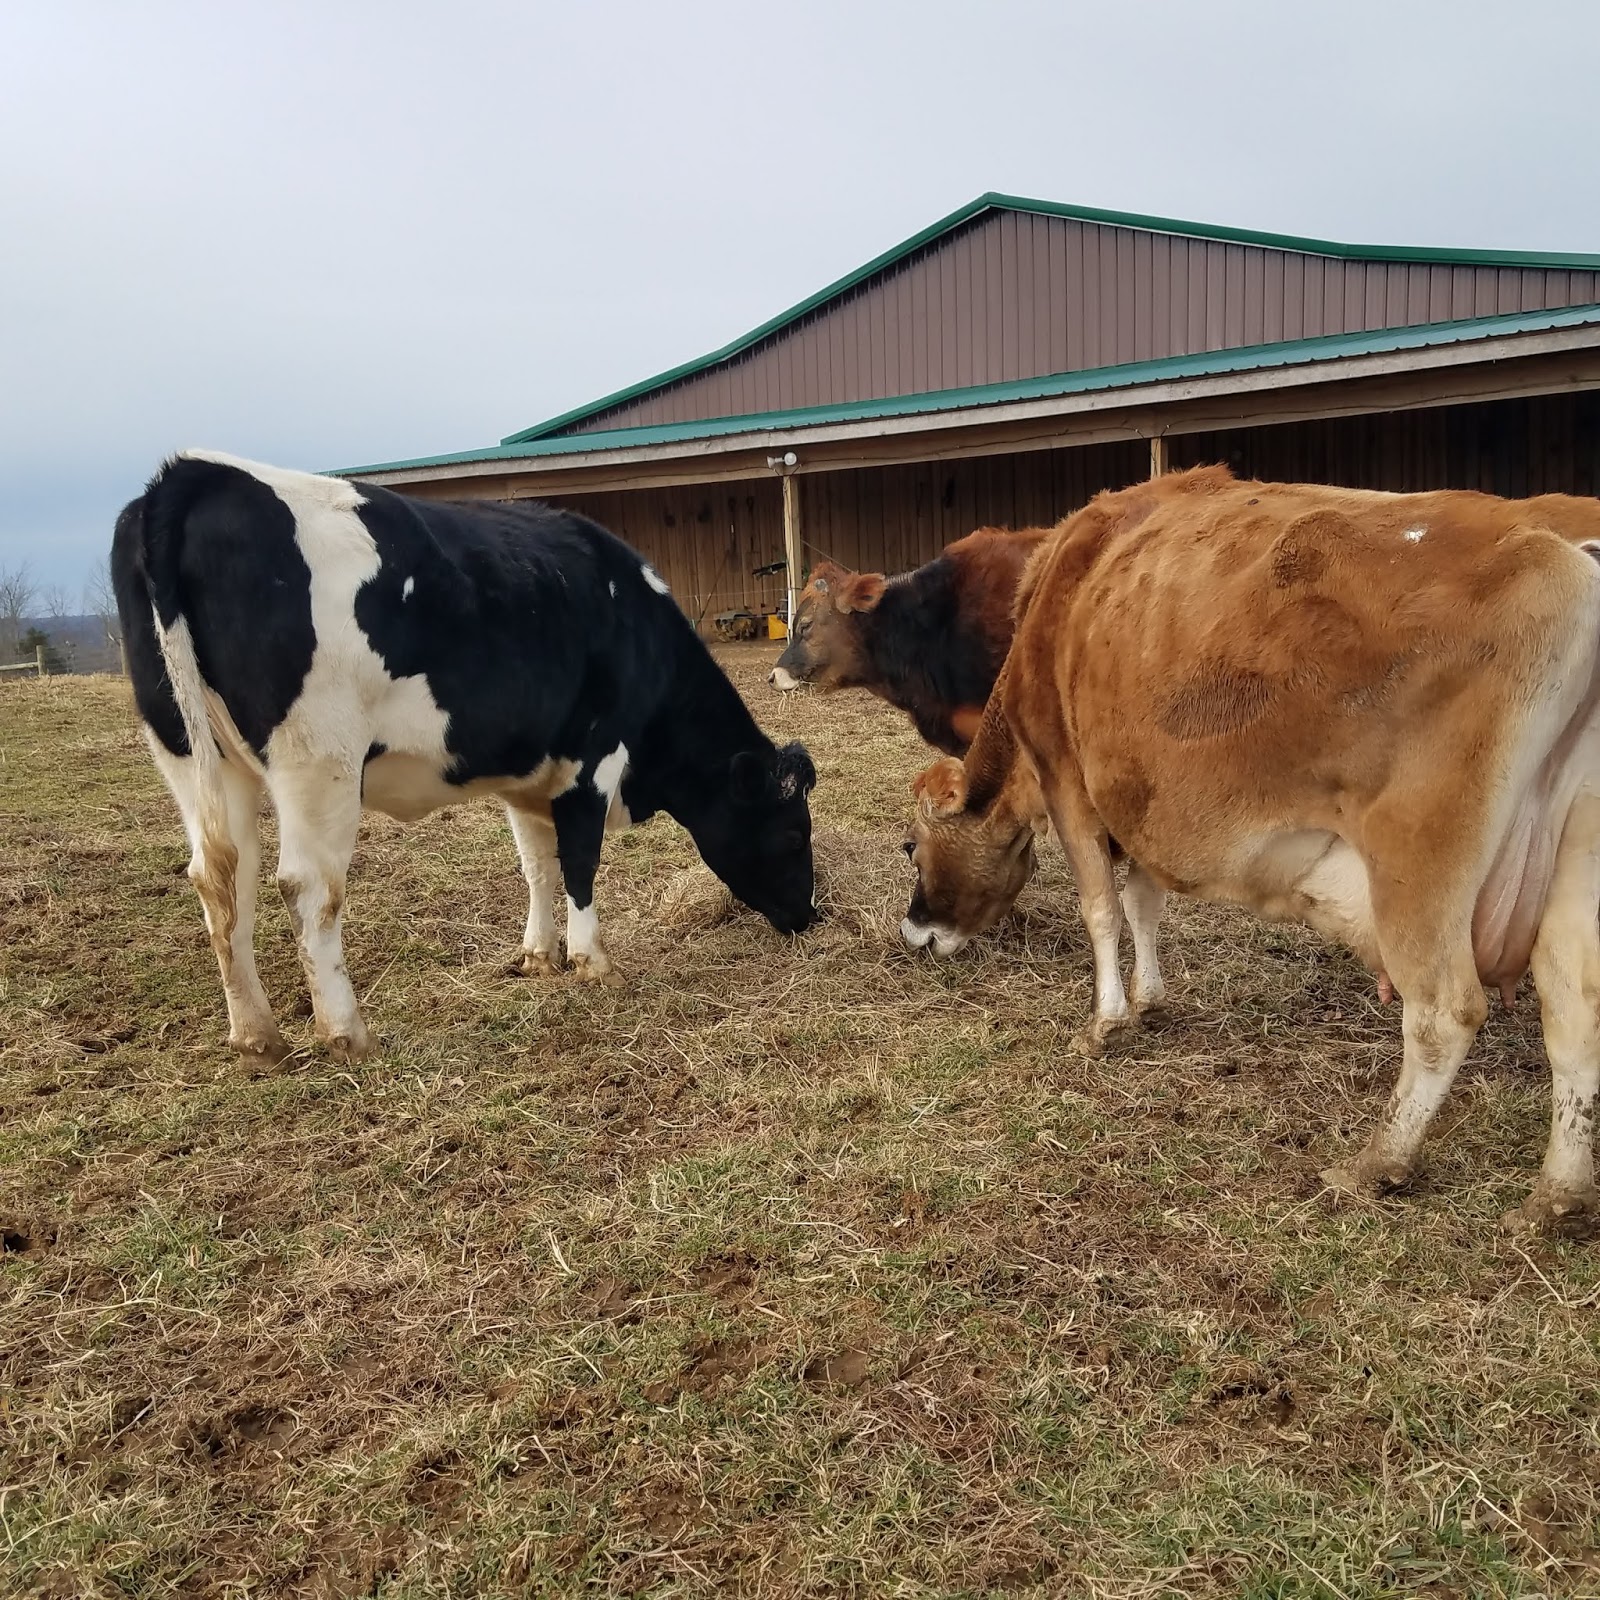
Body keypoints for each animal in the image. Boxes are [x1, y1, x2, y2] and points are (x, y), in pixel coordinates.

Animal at [112, 451, 819, 1063]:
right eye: (793, 835)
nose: (810, 917)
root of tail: (195, 472)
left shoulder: (530, 775)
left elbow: (538, 865)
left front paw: (539, 957)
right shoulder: (593, 762)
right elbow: (581, 862)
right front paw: (594, 963)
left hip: (192, 753)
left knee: (221, 879)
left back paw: (257, 1037)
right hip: (317, 758)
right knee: (307, 887)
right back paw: (346, 1033)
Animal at [900, 466, 1600, 1233]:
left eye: (911, 847)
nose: (914, 931)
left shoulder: (1069, 780)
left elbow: (1102, 909)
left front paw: (1105, 1023)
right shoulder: (1140, 802)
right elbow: (1144, 902)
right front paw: (1150, 999)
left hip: (1419, 854)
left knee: (1445, 1011)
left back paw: (1376, 1163)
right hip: (1575, 860)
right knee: (1574, 1011)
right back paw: (1556, 1195)